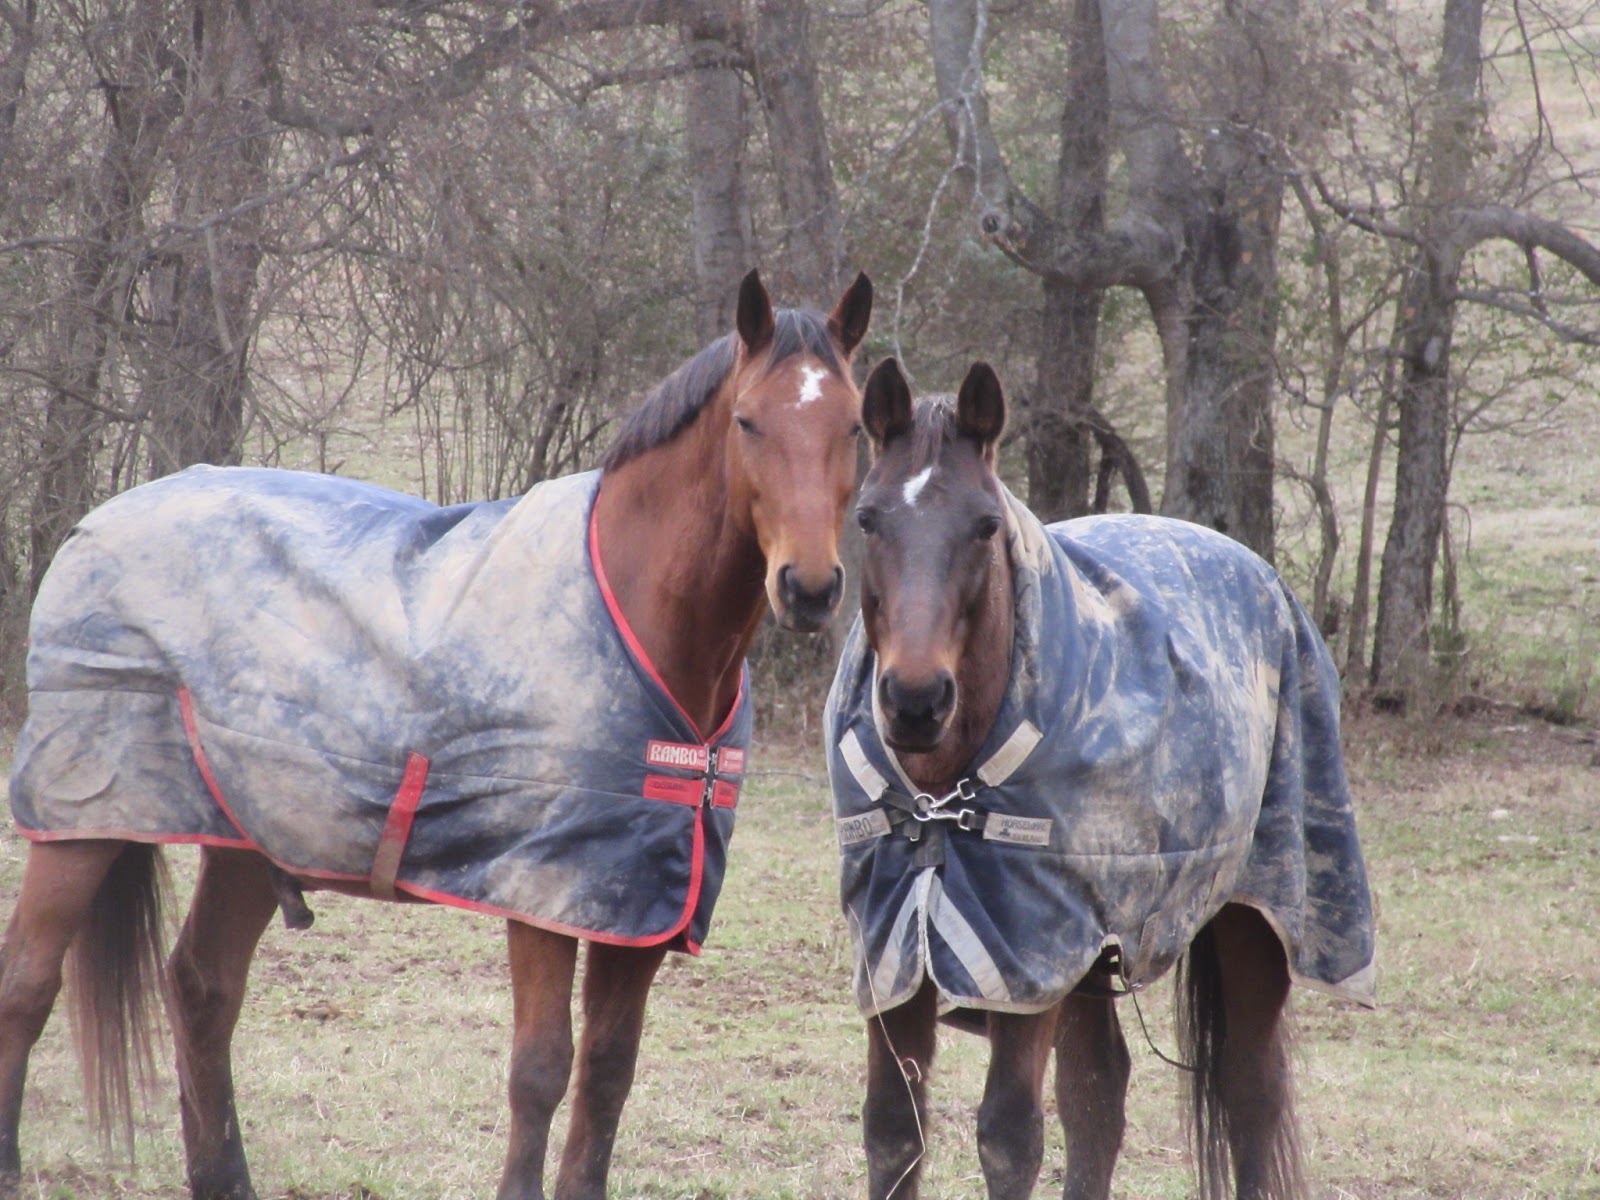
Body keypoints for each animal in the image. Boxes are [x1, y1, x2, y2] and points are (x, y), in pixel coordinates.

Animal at [0, 268, 873, 1200]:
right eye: (748, 420)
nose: (810, 588)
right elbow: (540, 1069)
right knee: (28, 982)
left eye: (854, 426)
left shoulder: (639, 902)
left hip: (248, 828)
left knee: (202, 987)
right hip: (81, 820)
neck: (636, 612)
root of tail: (94, 524)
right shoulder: (541, 891)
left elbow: (607, 1075)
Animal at [824, 359, 1375, 1200]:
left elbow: (1008, 1138)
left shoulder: (1026, 966)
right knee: (1097, 1094)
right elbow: (893, 1133)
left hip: (1255, 916)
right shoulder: (901, 956)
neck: (940, 798)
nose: (916, 702)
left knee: (1248, 1095)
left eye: (985, 525)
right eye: (867, 518)